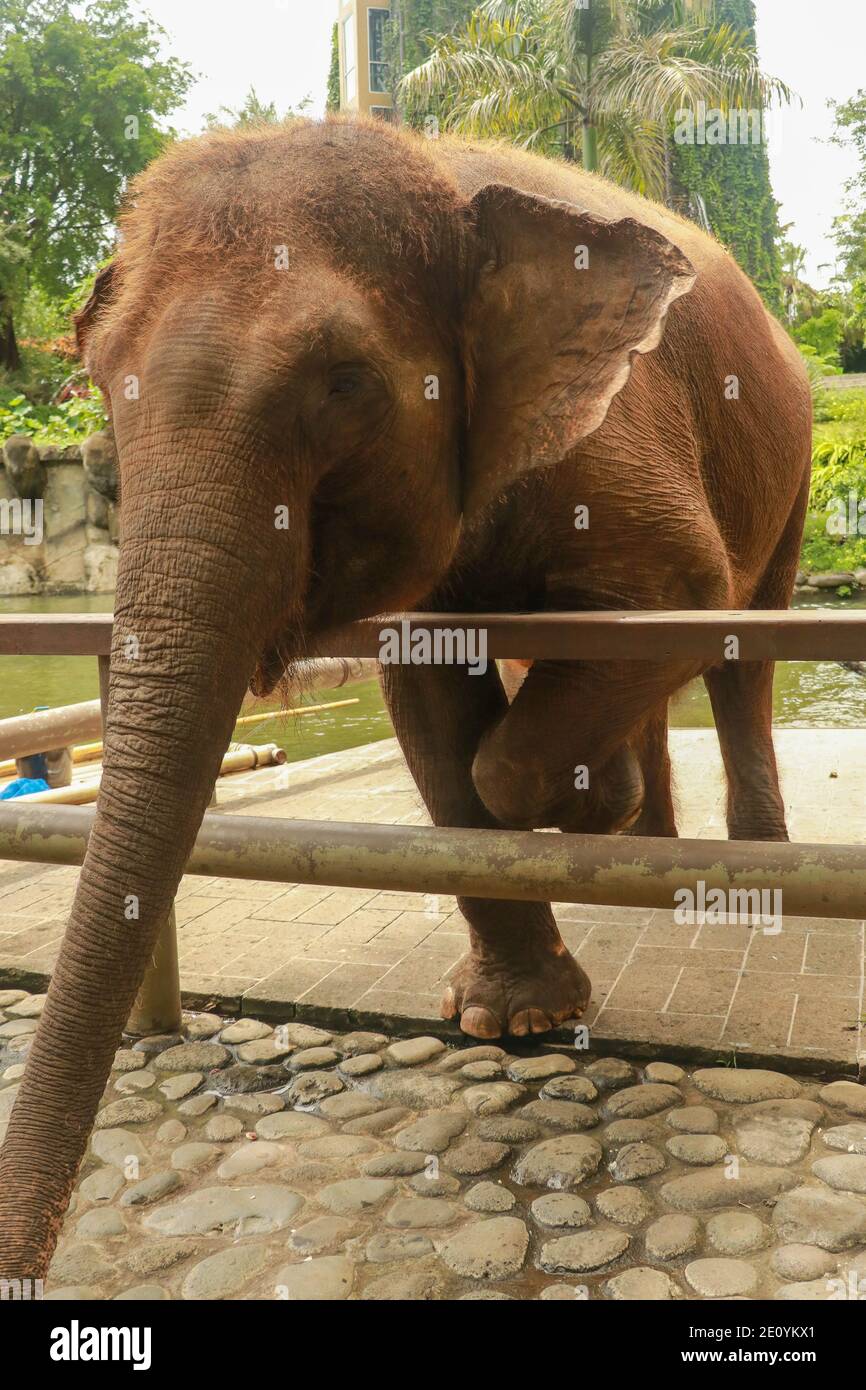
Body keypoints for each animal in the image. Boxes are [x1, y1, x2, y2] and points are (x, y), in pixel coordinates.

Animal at [0, 115, 811, 1278]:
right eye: (104, 383)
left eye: (345, 383)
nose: (27, 1257)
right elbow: (429, 706)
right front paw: (512, 1021)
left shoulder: (619, 423)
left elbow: (675, 595)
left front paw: (579, 819)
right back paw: (641, 838)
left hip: (789, 455)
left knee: (744, 644)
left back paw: (736, 857)